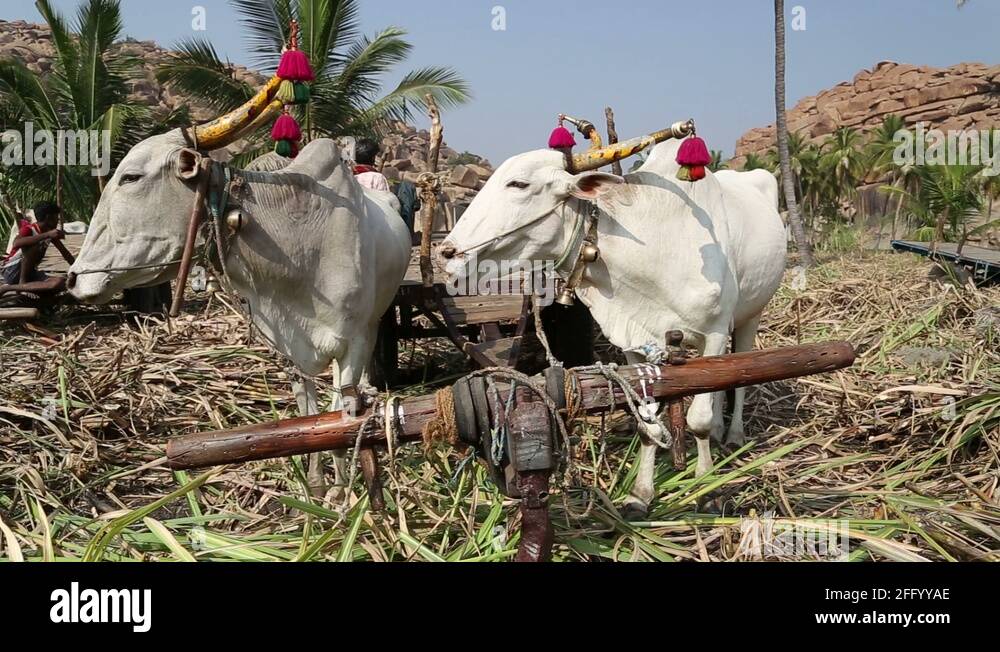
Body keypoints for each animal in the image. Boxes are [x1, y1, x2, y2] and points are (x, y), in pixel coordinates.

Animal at [68, 79, 411, 500]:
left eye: (130, 177)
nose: (74, 278)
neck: (295, 241)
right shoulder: (288, 348)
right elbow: (309, 415)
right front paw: (314, 486)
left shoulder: (351, 343)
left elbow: (341, 416)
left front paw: (340, 488)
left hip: (375, 320)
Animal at [439, 131, 786, 517]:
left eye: (518, 183)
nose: (446, 253)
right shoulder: (635, 344)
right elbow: (648, 423)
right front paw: (641, 494)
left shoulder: (712, 333)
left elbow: (699, 420)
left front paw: (706, 488)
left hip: (750, 315)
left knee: (739, 376)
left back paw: (734, 433)